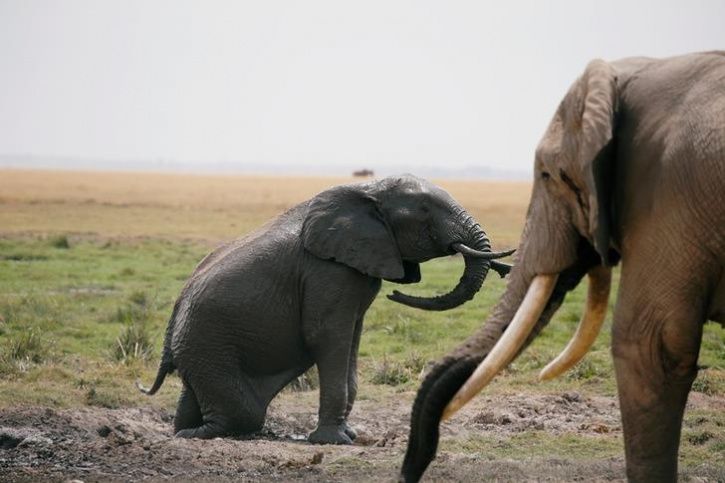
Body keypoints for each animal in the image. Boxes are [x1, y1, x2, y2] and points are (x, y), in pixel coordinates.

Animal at [138, 175, 513, 444]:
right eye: (424, 211)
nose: (504, 266)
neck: (368, 190)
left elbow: (352, 340)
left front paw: (350, 436)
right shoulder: (326, 271)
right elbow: (327, 337)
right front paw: (333, 441)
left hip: (199, 348)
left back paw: (183, 430)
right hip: (209, 345)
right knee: (243, 413)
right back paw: (197, 435)